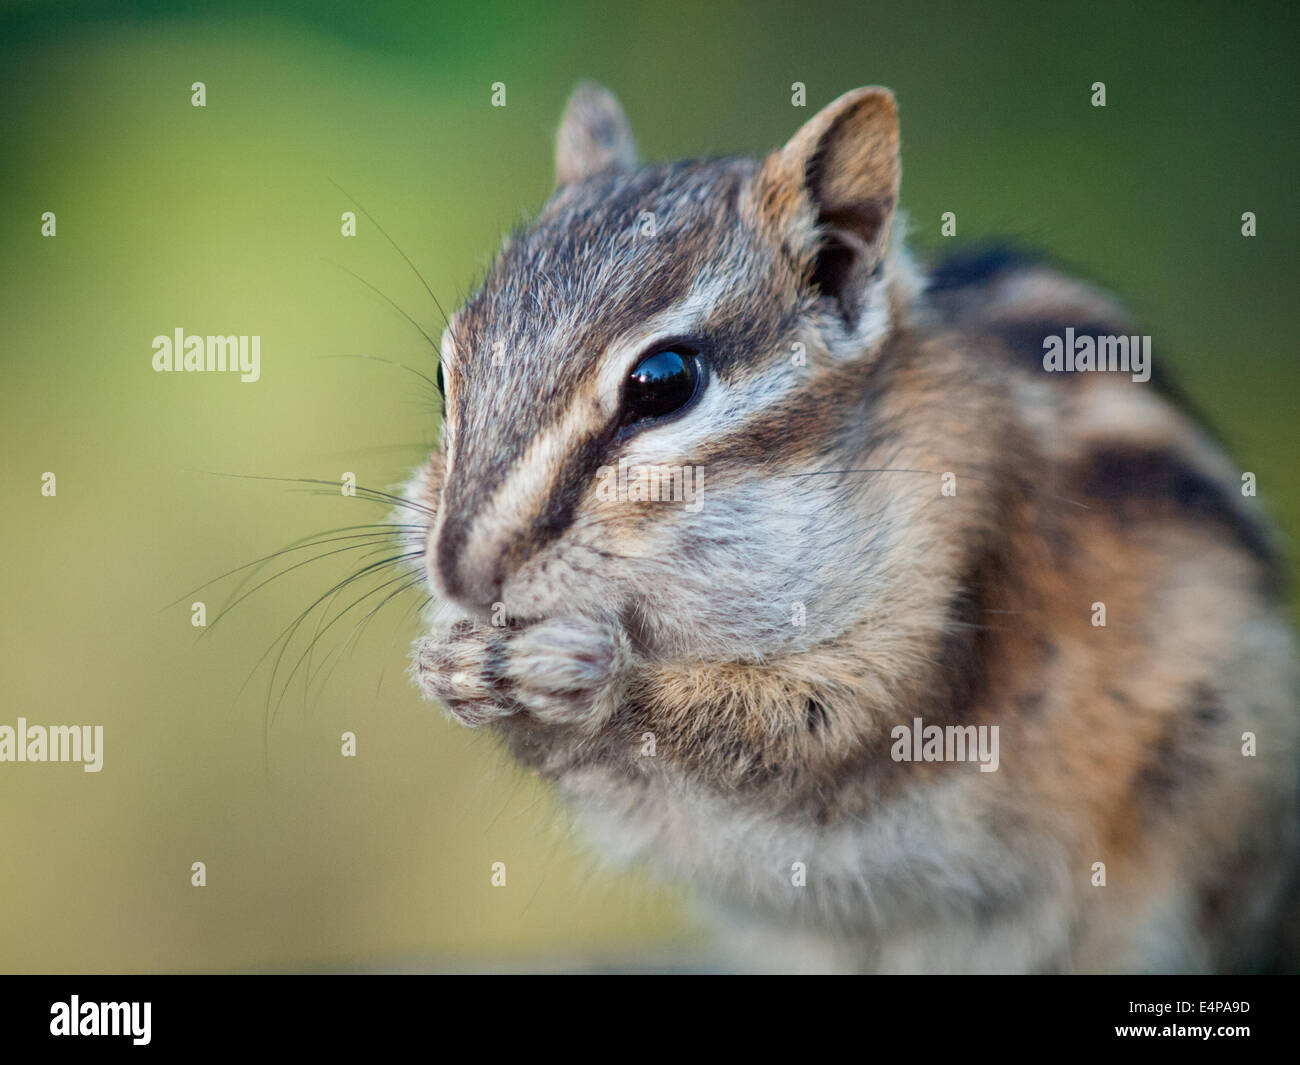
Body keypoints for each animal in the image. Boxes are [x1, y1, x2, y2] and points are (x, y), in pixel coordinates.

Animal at [408, 83, 1299, 973]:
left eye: (663, 382)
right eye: (447, 376)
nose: (461, 571)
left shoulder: (951, 584)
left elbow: (825, 722)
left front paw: (592, 670)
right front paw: (447, 662)